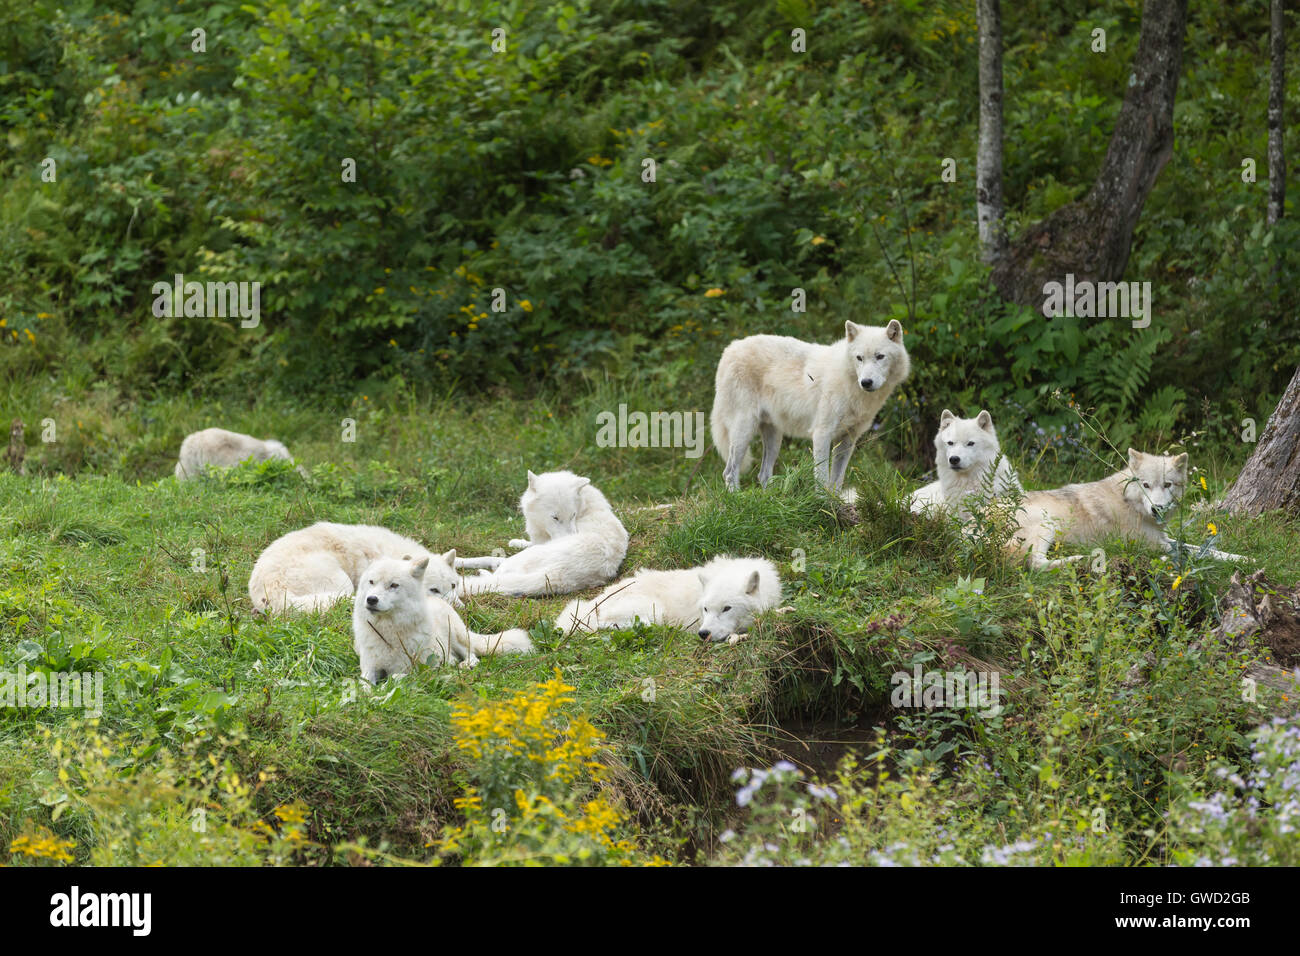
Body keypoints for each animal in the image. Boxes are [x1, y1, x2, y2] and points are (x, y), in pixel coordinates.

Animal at [352, 555, 533, 683]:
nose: (371, 599)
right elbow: (364, 683)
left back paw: (464, 664)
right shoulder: (369, 667)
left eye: (394, 585)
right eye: (371, 582)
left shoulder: (418, 669)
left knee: (472, 654)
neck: (389, 633)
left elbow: (397, 677)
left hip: (456, 637)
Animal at [456, 470, 628, 597]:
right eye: (555, 517)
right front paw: (517, 541)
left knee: (498, 573)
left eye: (572, 515)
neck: (585, 507)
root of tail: (557, 574)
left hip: (520, 560)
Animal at [711, 320, 910, 494]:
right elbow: (822, 478)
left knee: (763, 474)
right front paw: (823, 504)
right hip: (744, 430)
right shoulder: (822, 434)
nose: (866, 382)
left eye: (880, 356)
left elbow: (836, 480)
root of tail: (729, 349)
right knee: (729, 472)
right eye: (859, 358)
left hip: (774, 437)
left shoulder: (847, 439)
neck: (850, 383)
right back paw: (736, 499)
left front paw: (835, 504)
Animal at [1009, 449, 1248, 570]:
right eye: (1146, 485)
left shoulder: (1163, 538)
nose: (1157, 509)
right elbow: (1196, 552)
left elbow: (1204, 548)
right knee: (1032, 563)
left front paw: (1244, 558)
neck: (1130, 503)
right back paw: (1079, 559)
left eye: (1167, 485)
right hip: (1046, 523)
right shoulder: (1152, 544)